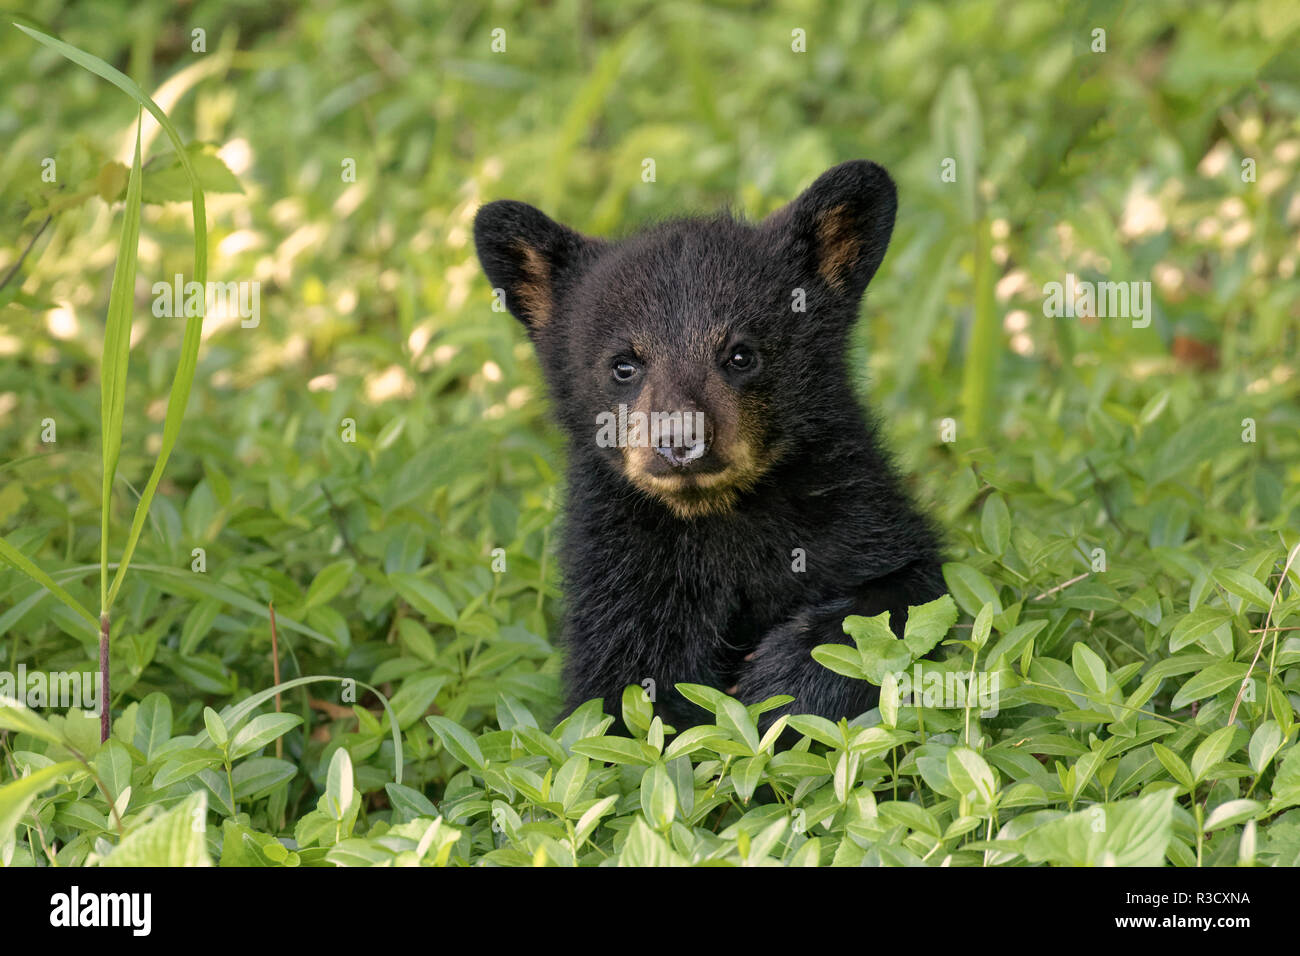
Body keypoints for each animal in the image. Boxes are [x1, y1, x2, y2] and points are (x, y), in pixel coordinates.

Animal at [473, 160, 945, 735]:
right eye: (623, 364)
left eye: (741, 355)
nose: (681, 439)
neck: (715, 515)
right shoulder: (618, 583)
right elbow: (619, 702)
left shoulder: (854, 514)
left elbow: (911, 589)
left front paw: (783, 679)